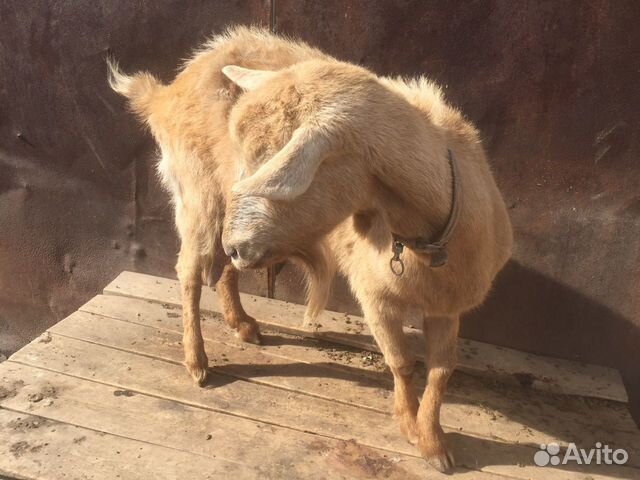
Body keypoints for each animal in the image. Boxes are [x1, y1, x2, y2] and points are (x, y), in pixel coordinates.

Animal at [109, 26, 513, 473]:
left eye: (274, 163)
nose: (236, 243)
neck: (428, 238)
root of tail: (167, 90)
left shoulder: (448, 305)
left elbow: (442, 371)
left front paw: (435, 445)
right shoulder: (374, 296)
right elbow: (402, 362)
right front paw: (409, 426)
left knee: (227, 270)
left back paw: (242, 322)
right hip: (198, 194)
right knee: (189, 272)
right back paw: (197, 361)